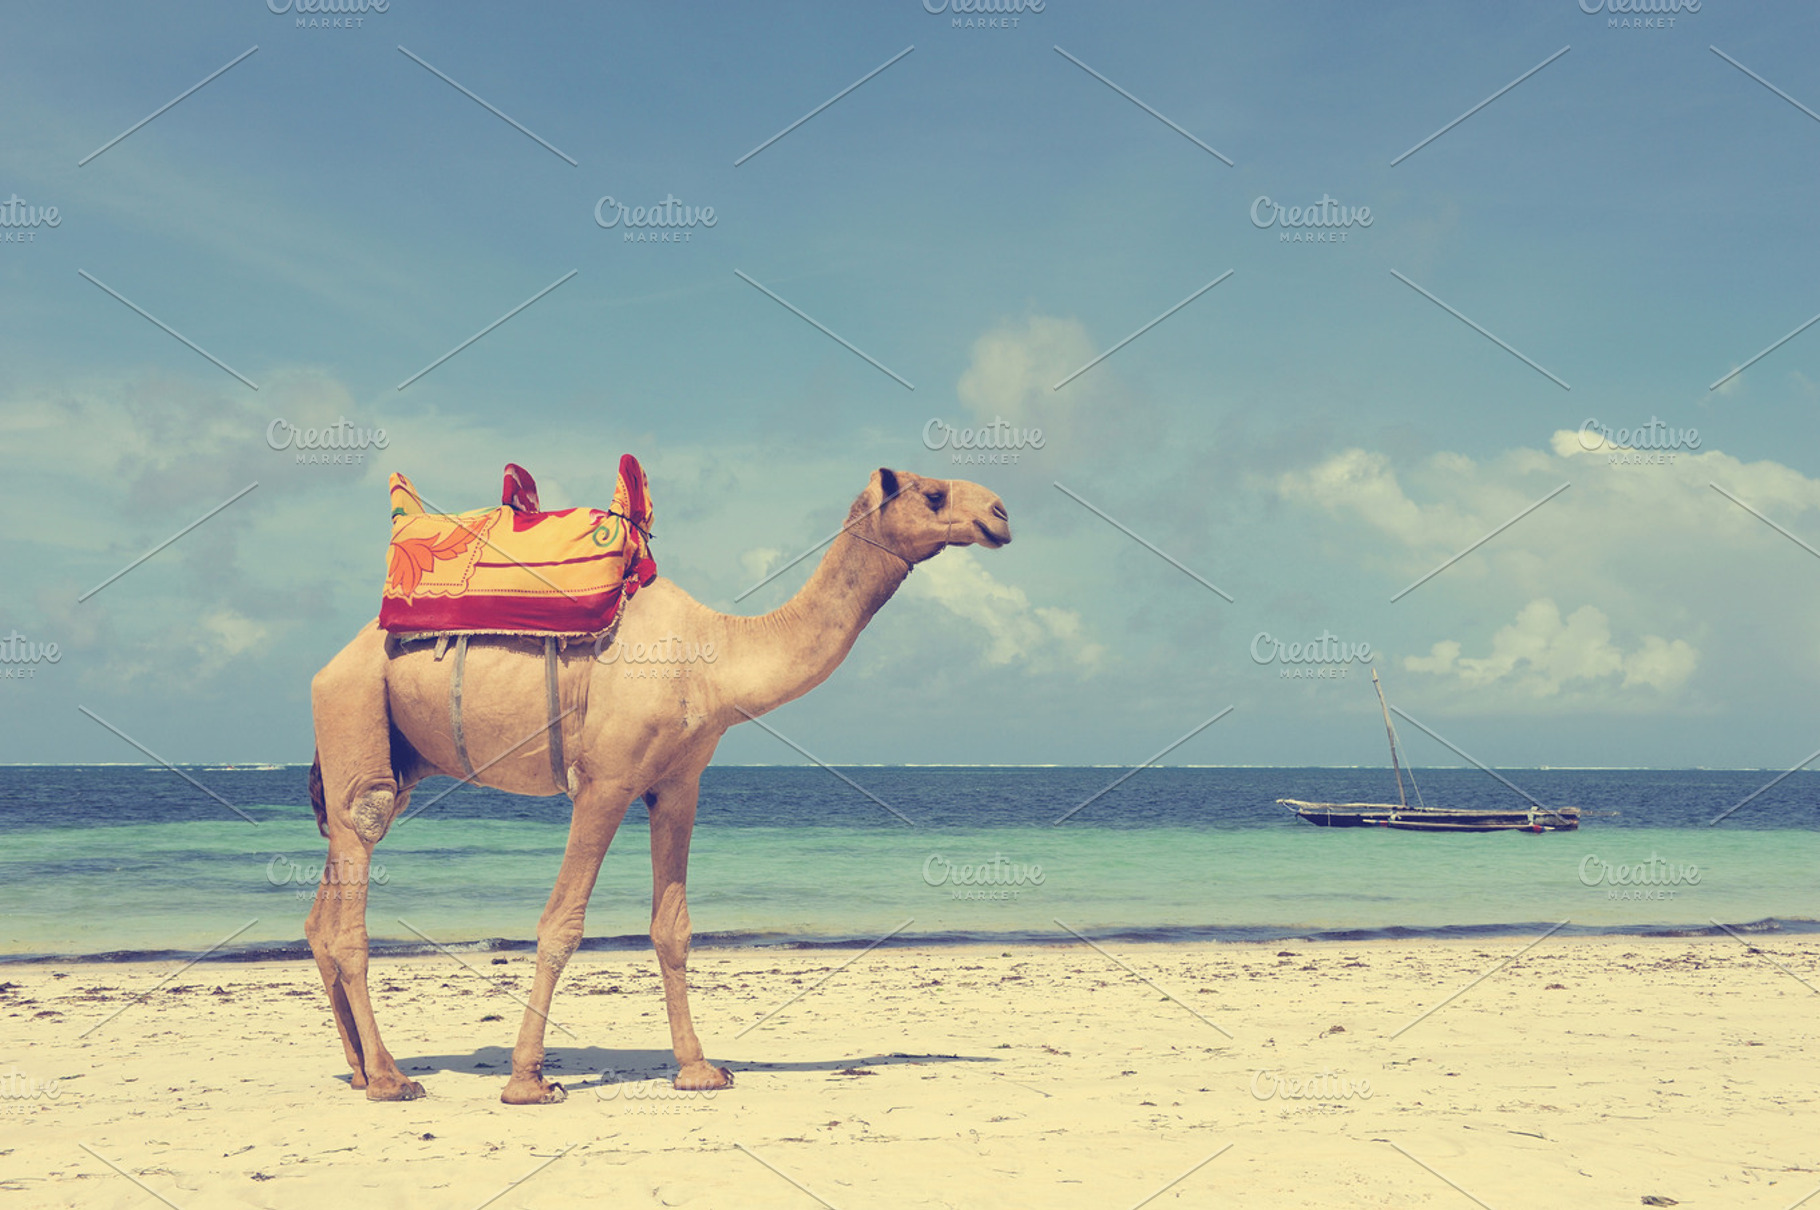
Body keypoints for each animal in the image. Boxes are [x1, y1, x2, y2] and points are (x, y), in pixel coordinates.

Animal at [305, 468, 1011, 1102]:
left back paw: (362, 1071)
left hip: (385, 757)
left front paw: (699, 1071)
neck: (715, 660)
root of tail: (327, 667)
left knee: (322, 914)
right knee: (355, 875)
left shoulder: (677, 784)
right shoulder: (606, 780)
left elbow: (673, 927)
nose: (1000, 513)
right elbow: (561, 923)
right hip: (356, 715)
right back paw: (392, 1080)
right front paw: (527, 1082)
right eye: (933, 493)